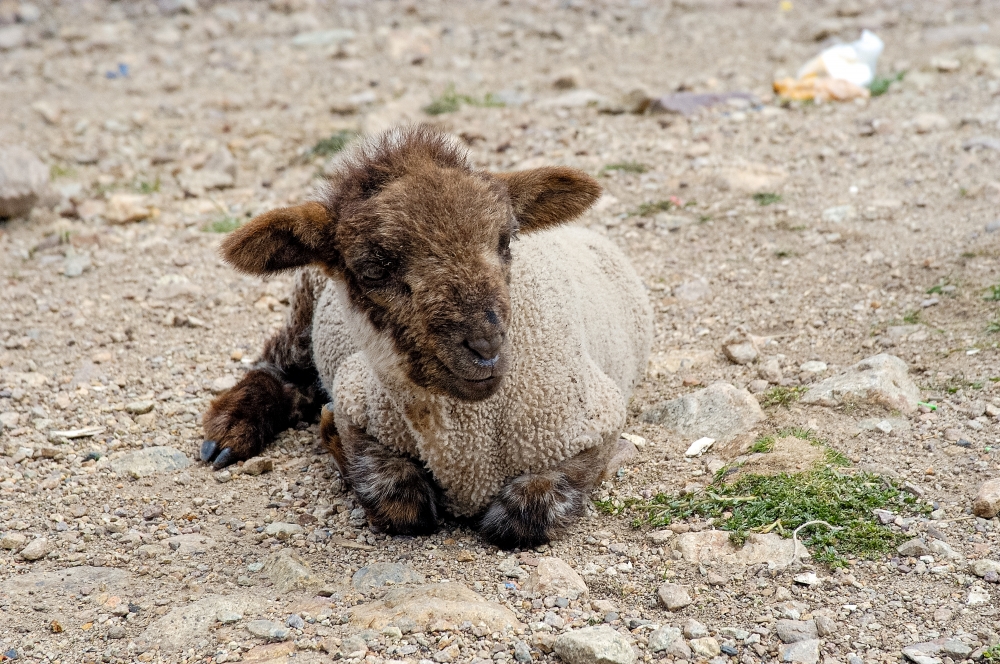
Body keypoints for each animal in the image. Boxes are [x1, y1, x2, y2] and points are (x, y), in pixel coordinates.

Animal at [202, 126, 653, 548]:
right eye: (373, 269)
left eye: (506, 241)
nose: (486, 348)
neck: (466, 451)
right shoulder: (356, 400)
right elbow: (403, 503)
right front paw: (331, 438)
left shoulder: (599, 423)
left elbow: (520, 517)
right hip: (305, 308)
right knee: (277, 365)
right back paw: (229, 431)